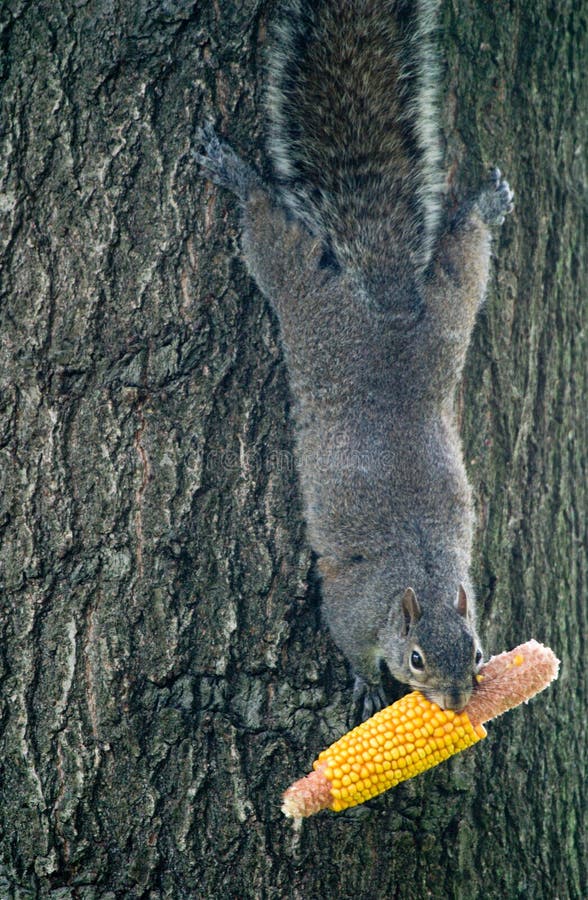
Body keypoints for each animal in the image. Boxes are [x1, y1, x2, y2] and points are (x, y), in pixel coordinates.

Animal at [195, 0, 514, 718]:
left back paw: (486, 206)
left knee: (465, 256)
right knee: (272, 235)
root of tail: (387, 304)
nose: (455, 701)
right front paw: (367, 684)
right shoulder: (352, 606)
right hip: (308, 294)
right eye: (417, 658)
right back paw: (236, 174)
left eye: (478, 651)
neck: (423, 575)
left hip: (445, 313)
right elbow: (348, 640)